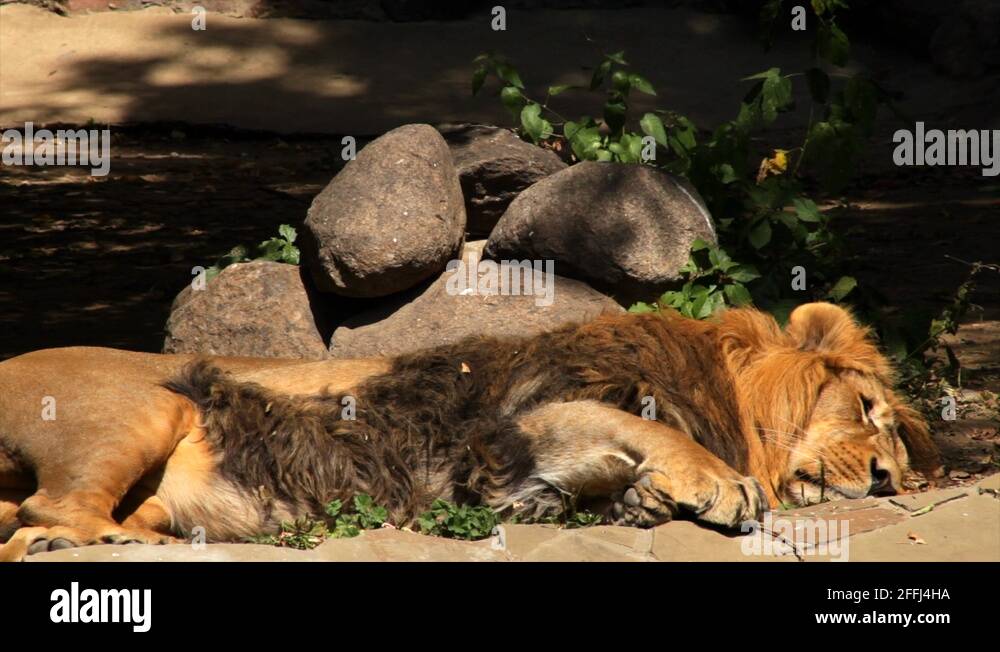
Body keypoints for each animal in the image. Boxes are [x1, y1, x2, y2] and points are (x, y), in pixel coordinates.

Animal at [0, 302, 939, 561]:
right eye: (867, 412)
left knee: (33, 526)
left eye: (898, 456)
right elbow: (642, 426)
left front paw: (638, 499)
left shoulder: (513, 469)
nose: (888, 481)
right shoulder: (524, 414)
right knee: (58, 512)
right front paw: (718, 479)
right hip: (148, 407)